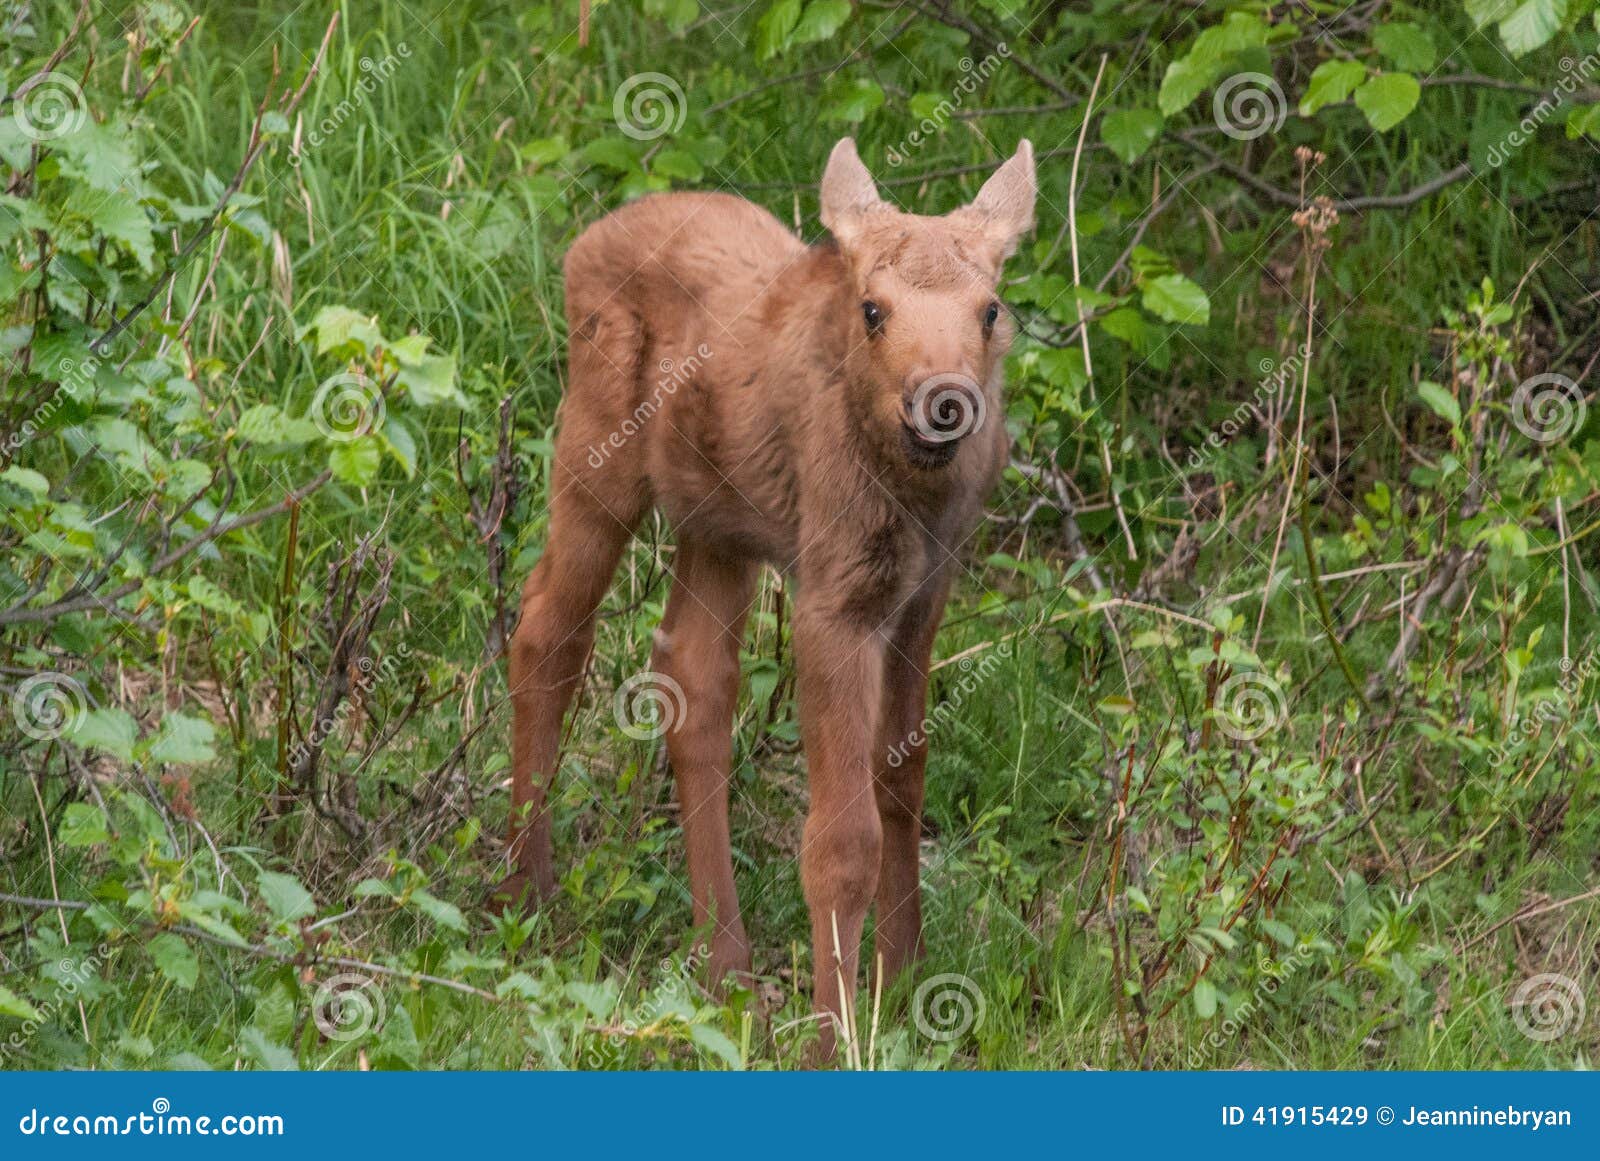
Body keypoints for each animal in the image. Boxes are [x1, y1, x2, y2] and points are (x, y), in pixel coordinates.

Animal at [496, 136, 1035, 1058]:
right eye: (872, 309)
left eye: (990, 308)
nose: (943, 401)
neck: (915, 497)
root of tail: (583, 242)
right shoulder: (832, 600)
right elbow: (840, 840)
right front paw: (835, 1037)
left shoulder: (925, 591)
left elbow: (905, 774)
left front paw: (905, 979)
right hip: (597, 461)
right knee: (544, 630)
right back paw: (526, 897)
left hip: (717, 527)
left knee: (692, 680)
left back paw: (726, 969)